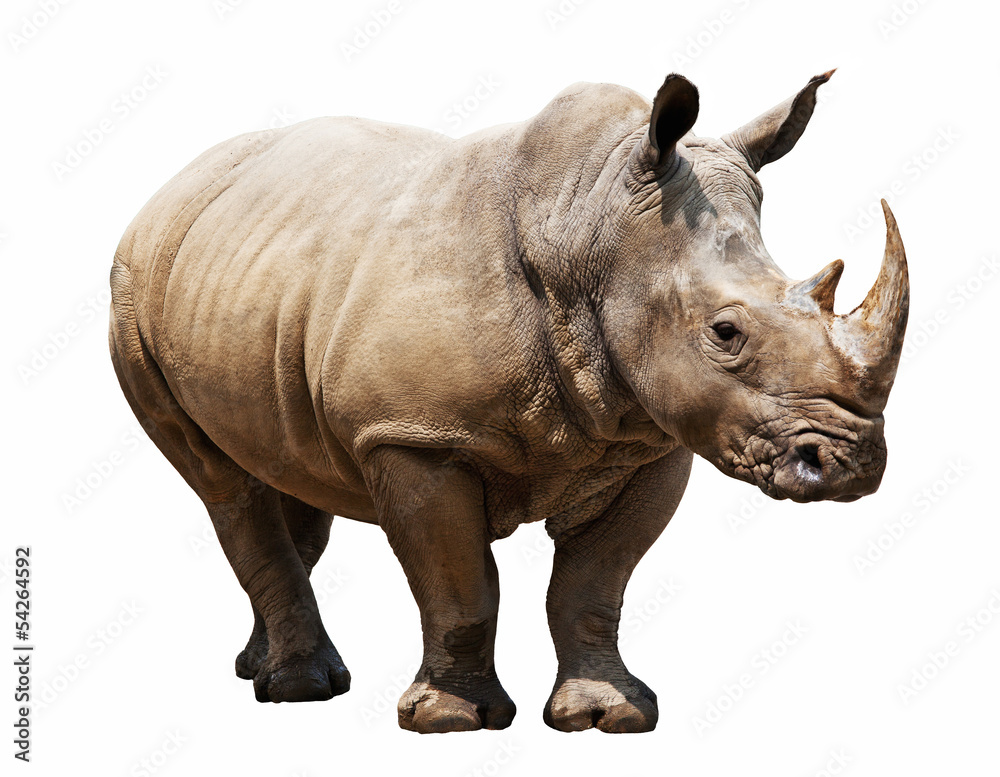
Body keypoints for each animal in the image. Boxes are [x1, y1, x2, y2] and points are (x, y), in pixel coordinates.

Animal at [109, 69, 908, 733]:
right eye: (726, 332)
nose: (850, 465)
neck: (593, 230)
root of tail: (173, 185)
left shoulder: (655, 437)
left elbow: (594, 582)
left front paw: (608, 715)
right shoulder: (414, 434)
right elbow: (460, 582)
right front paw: (450, 720)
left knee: (288, 467)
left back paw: (259, 667)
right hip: (130, 288)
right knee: (223, 482)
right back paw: (301, 689)